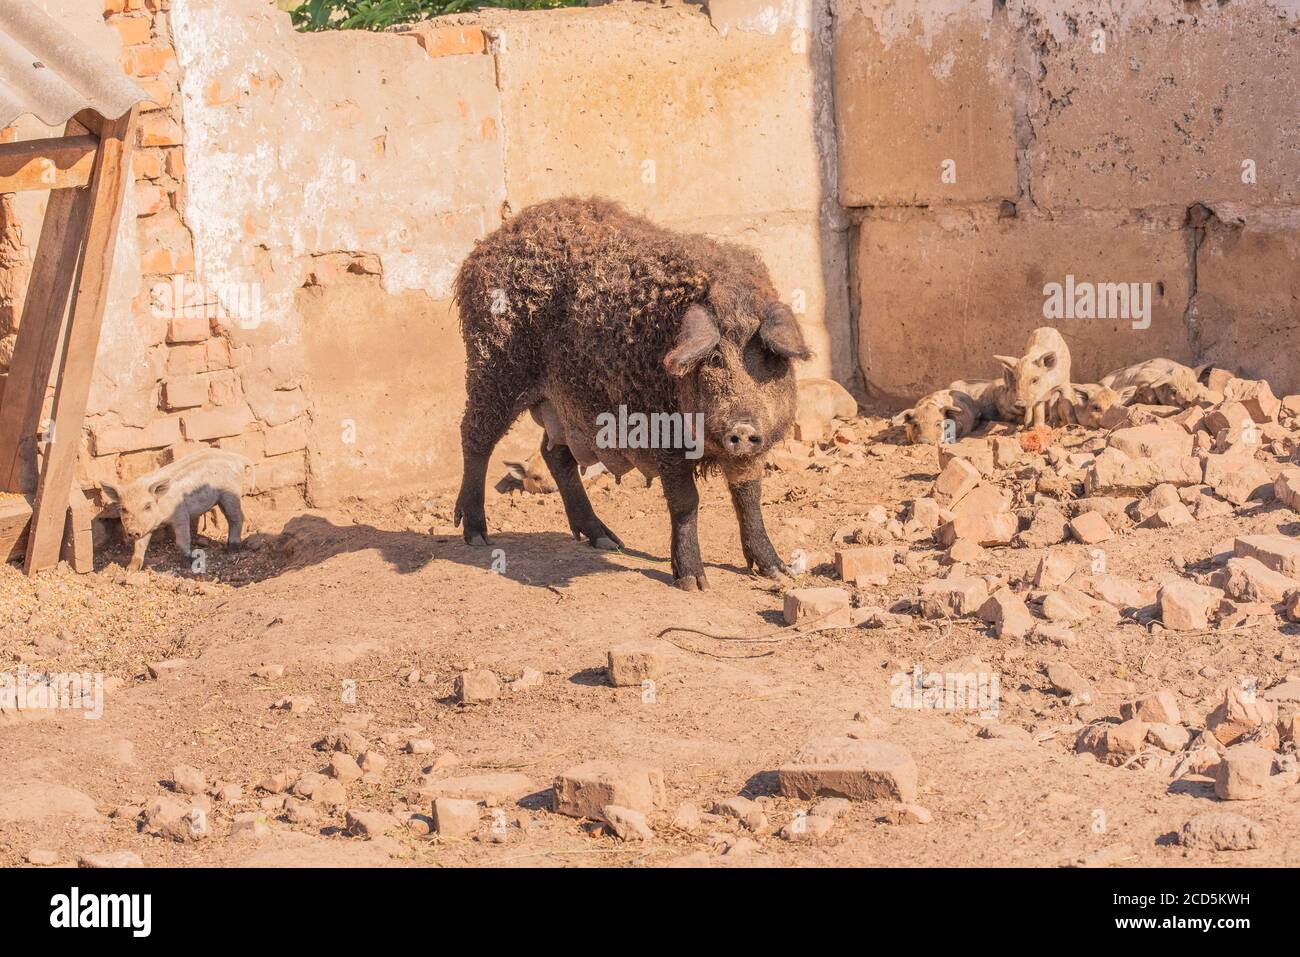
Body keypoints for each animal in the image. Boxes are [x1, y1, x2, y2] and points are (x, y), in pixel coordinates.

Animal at [101, 449, 252, 571]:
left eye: (147, 506)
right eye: (124, 509)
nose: (132, 531)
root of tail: (237, 458)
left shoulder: (180, 514)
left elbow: (181, 540)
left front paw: (187, 563)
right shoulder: (145, 527)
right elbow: (139, 545)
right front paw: (131, 569)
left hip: (230, 492)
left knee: (236, 518)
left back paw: (231, 549)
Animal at [453, 198, 811, 591]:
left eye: (767, 358)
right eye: (715, 359)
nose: (743, 427)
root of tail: (484, 247)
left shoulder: (751, 451)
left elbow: (749, 496)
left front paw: (778, 572)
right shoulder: (662, 433)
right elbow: (686, 500)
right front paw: (694, 583)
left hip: (566, 403)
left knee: (554, 455)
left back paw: (606, 540)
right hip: (494, 365)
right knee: (475, 437)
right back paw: (476, 535)